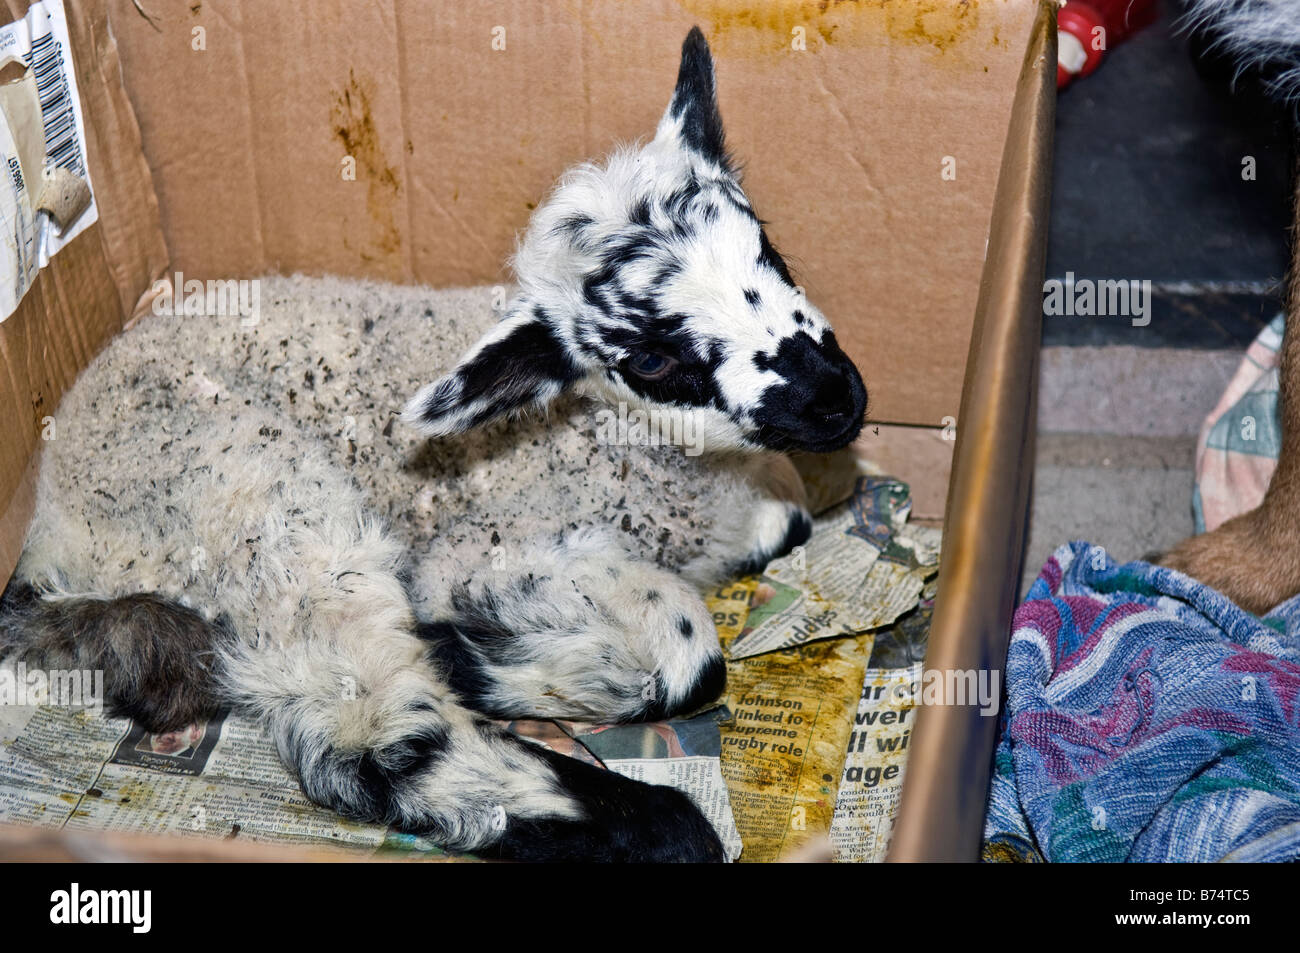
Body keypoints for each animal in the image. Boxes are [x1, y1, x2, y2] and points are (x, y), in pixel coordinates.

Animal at [0, 27, 867, 861]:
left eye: (768, 248)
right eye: (650, 357)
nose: (836, 399)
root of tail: (49, 537)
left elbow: (781, 528)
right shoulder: (486, 549)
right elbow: (688, 651)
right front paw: (481, 655)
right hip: (251, 496)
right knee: (373, 728)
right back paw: (655, 823)